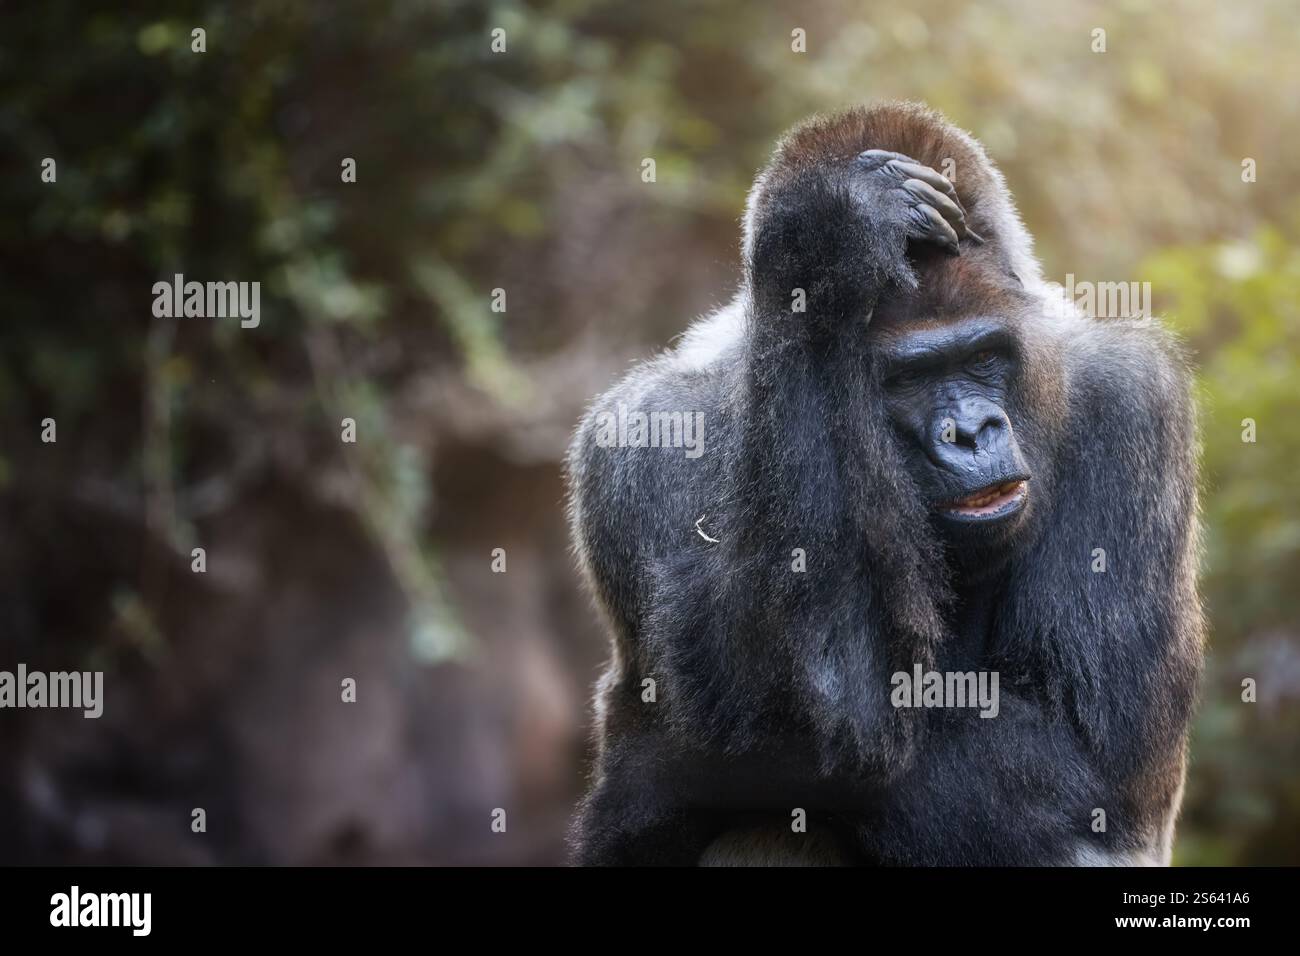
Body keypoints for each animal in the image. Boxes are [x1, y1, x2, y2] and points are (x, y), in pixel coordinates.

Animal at [565, 102, 1204, 866]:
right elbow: (822, 706)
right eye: (906, 378)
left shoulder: (1133, 398)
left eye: (984, 357)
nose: (971, 432)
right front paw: (826, 240)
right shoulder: (642, 435)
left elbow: (1073, 750)